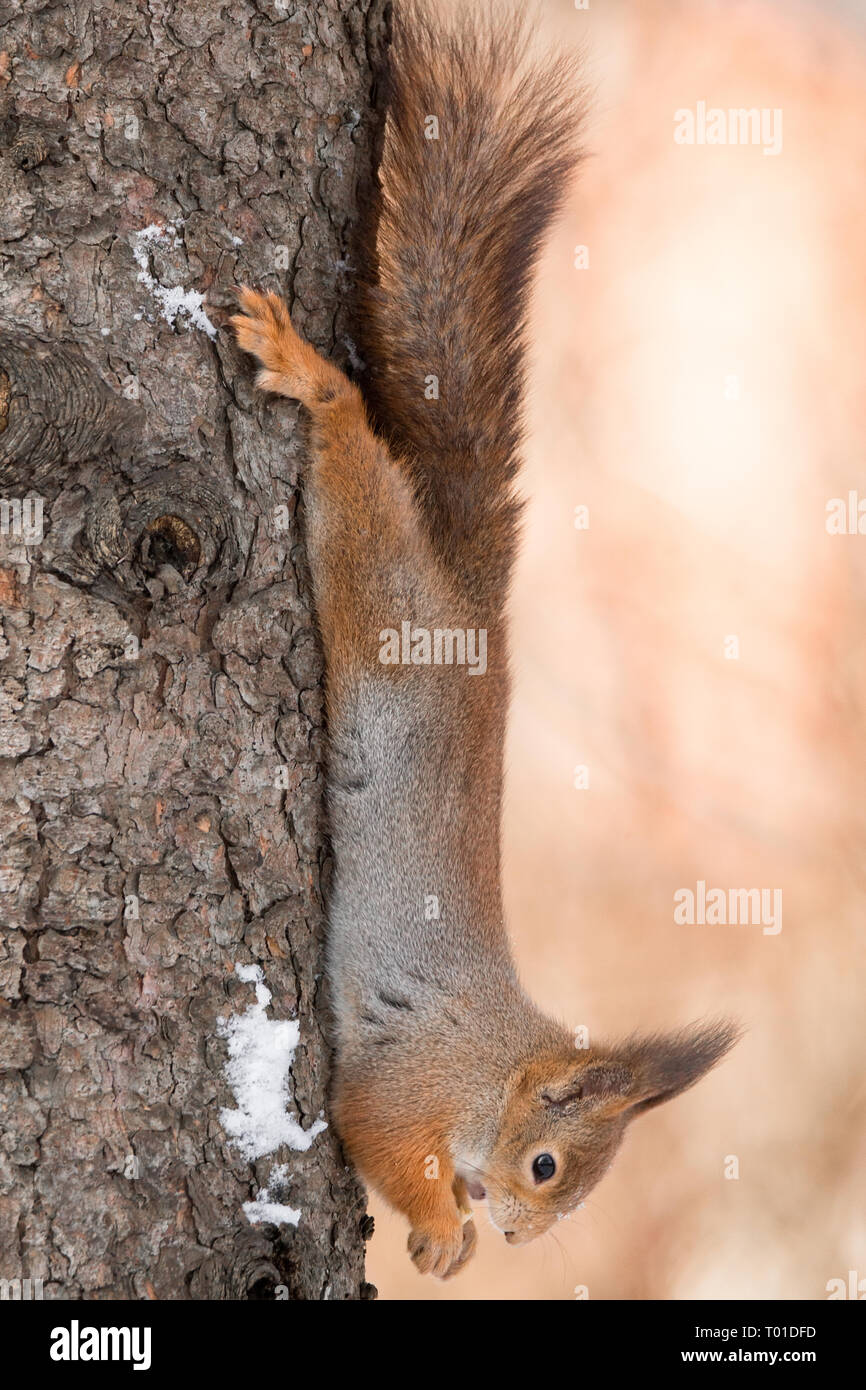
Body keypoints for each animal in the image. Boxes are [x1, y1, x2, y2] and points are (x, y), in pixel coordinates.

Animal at [231, 2, 739, 1280]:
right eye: (548, 1167)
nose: (517, 1235)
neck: (495, 1070)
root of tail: (474, 614)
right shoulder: (408, 1077)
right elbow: (372, 1130)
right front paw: (442, 1231)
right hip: (374, 588)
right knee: (351, 462)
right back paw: (308, 376)